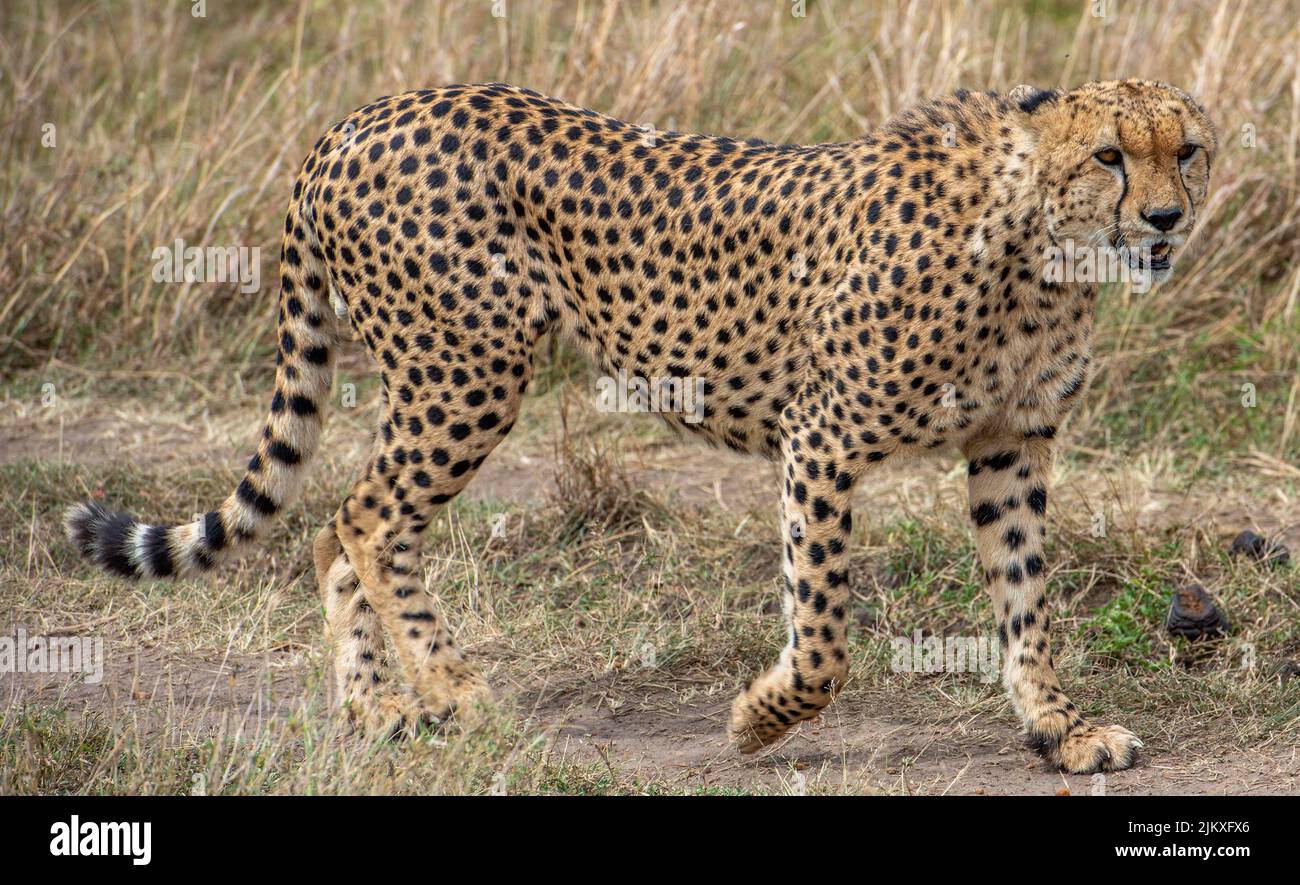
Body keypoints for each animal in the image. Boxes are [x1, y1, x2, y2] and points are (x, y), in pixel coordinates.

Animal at [65, 78, 1215, 774]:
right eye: (1110, 156)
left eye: (1188, 150)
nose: (1166, 219)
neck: (1038, 250)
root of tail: (365, 114)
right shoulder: (823, 436)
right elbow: (824, 635)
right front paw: (757, 717)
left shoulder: (1009, 446)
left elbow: (1025, 601)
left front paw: (1059, 728)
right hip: (467, 371)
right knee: (367, 521)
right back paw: (454, 690)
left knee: (327, 529)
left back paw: (378, 710)